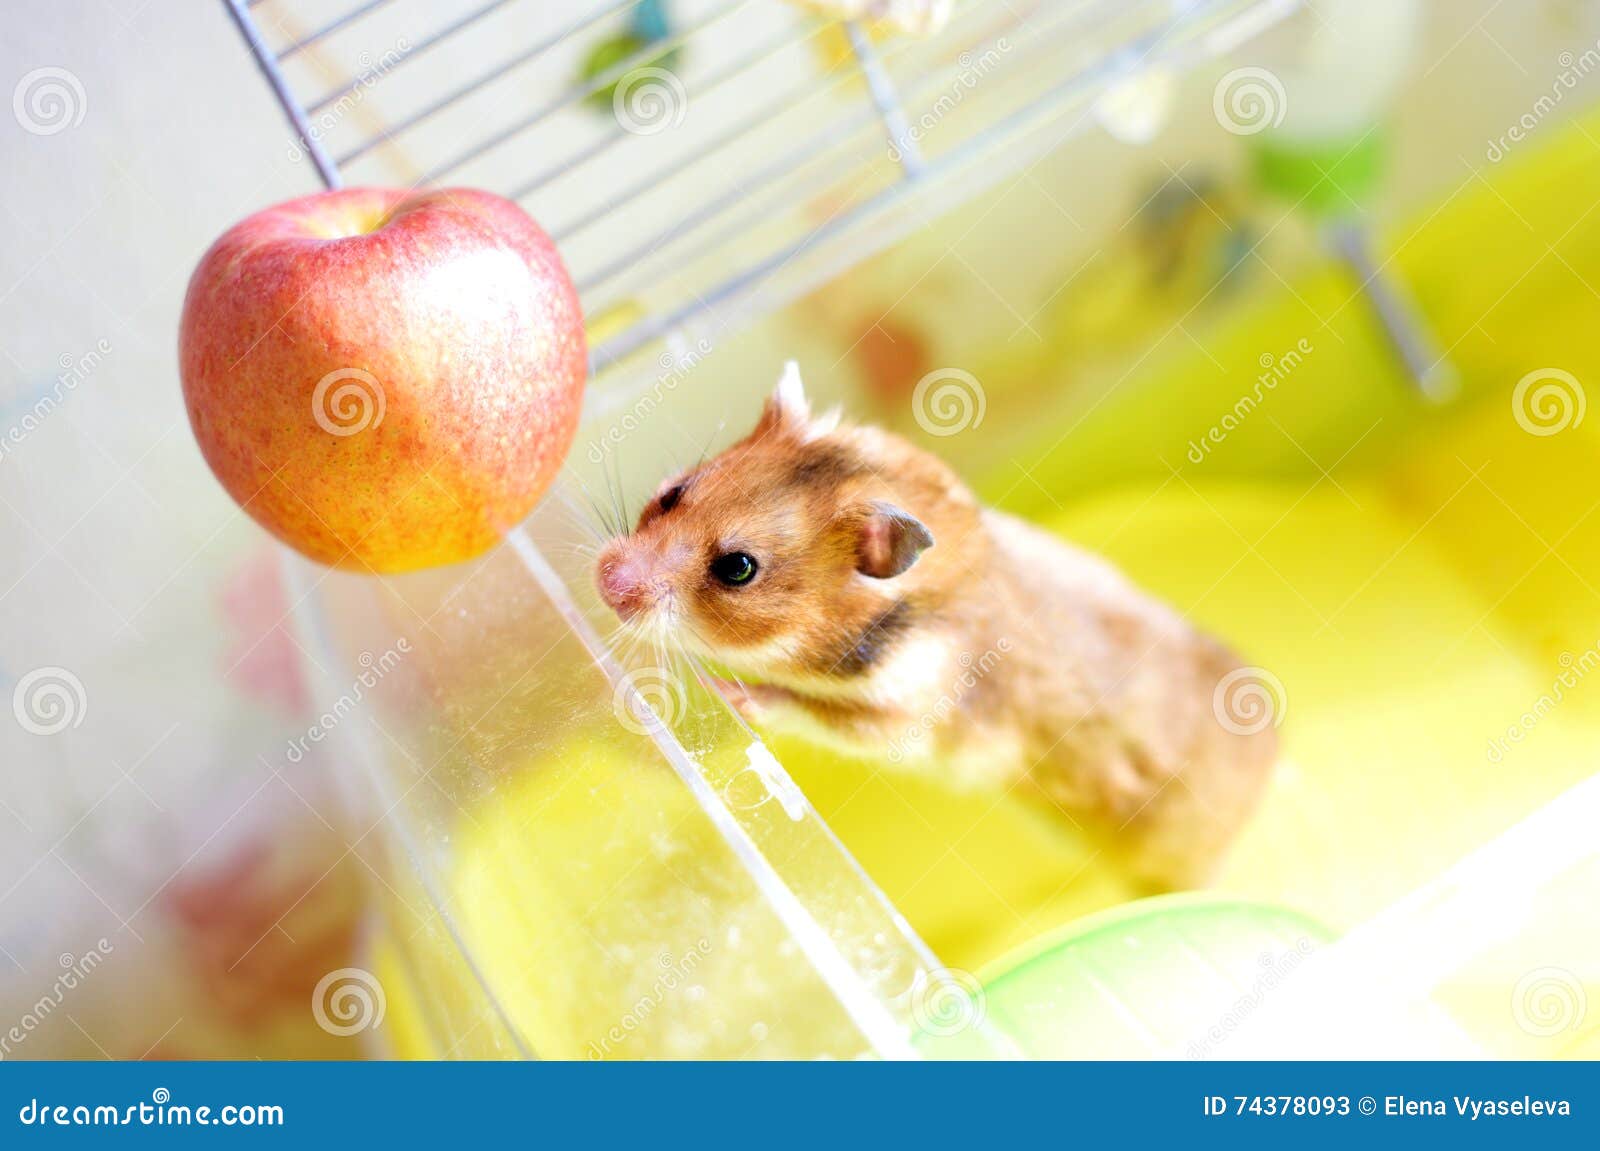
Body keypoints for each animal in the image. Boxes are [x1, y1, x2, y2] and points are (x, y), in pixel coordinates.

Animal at [595, 363, 1275, 889]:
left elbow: (809, 711)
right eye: (675, 492)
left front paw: (727, 691)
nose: (604, 580)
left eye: (737, 568)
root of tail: (1275, 760)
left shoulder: (906, 714)